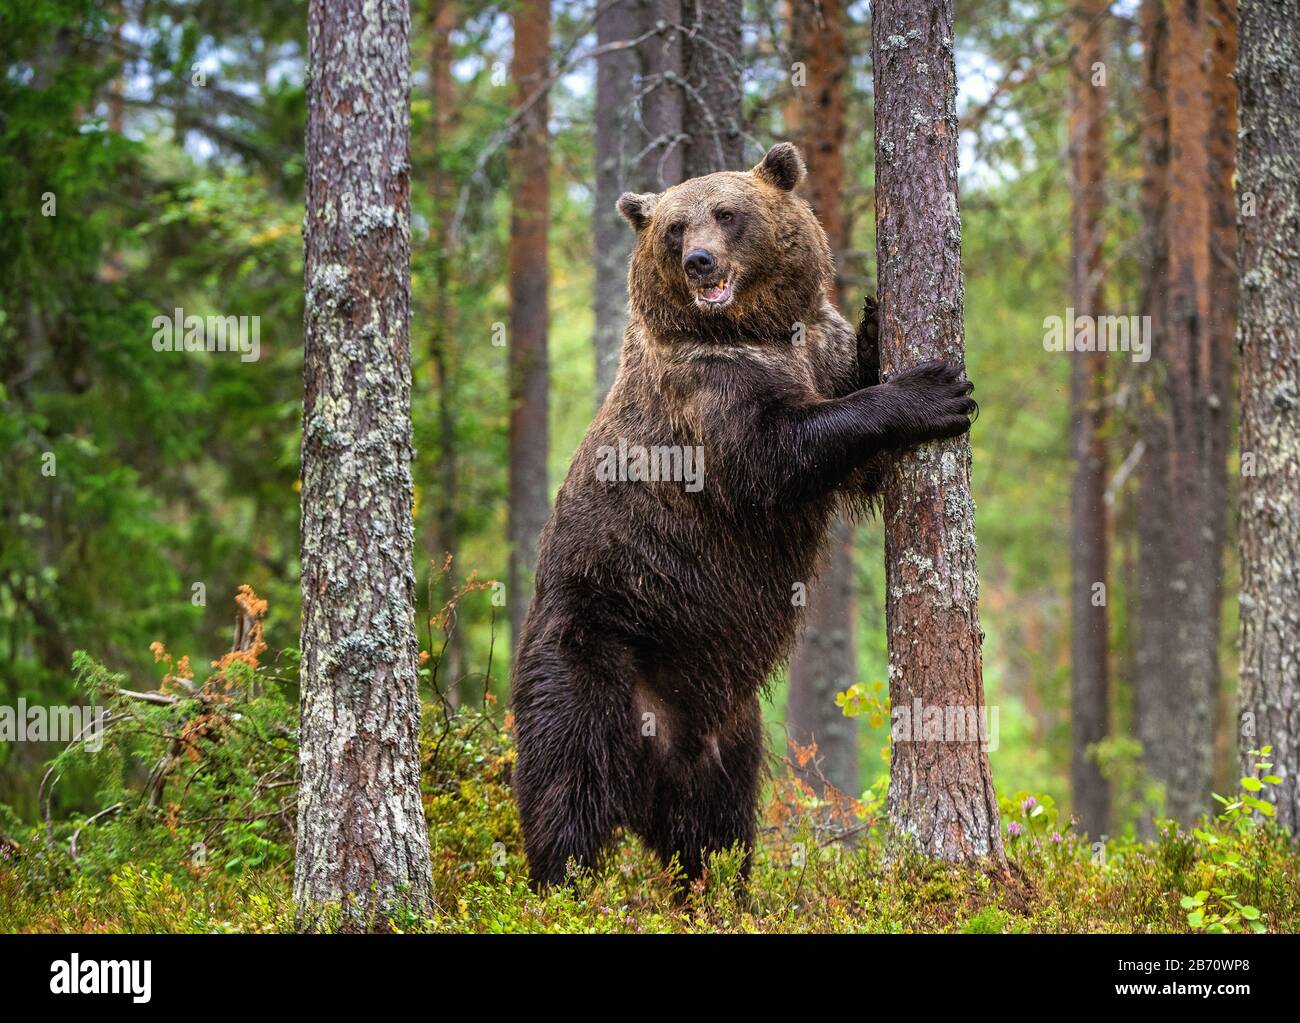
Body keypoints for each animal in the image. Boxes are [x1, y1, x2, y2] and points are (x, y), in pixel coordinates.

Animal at [510, 142, 976, 888]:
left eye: (727, 213)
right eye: (675, 228)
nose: (700, 260)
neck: (758, 329)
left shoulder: (814, 348)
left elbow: (856, 444)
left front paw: (878, 322)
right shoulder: (705, 391)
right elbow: (773, 453)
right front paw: (930, 391)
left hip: (729, 729)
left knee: (717, 828)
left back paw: (721, 889)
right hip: (588, 652)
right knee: (567, 787)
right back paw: (562, 887)